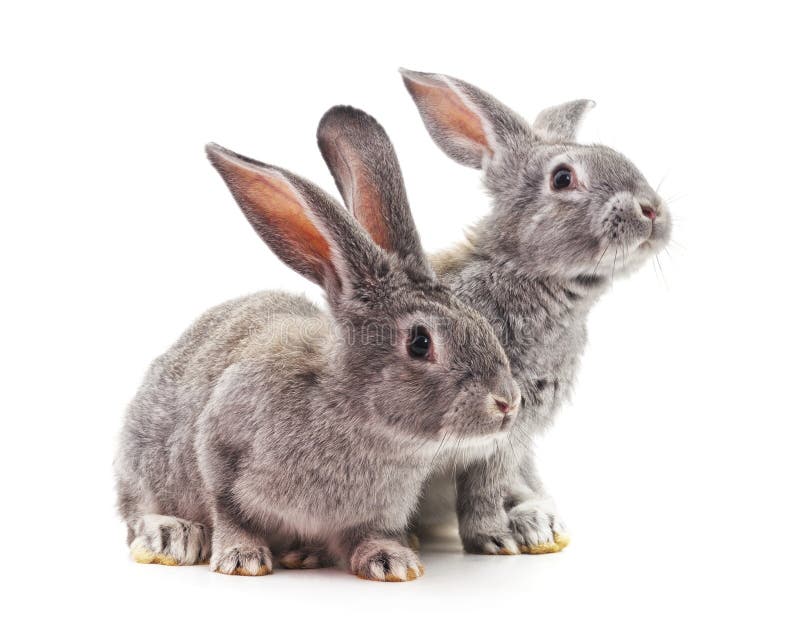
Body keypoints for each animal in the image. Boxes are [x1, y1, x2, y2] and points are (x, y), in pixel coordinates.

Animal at [114, 140, 521, 582]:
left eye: (479, 319)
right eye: (419, 342)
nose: (508, 402)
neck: (346, 405)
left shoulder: (376, 514)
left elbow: (368, 535)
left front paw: (391, 561)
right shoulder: (220, 442)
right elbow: (229, 510)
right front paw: (242, 557)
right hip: (140, 461)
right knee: (137, 512)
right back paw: (173, 535)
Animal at [315, 72, 671, 557]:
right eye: (563, 178)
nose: (652, 209)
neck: (528, 276)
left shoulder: (508, 436)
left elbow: (486, 485)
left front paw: (499, 536)